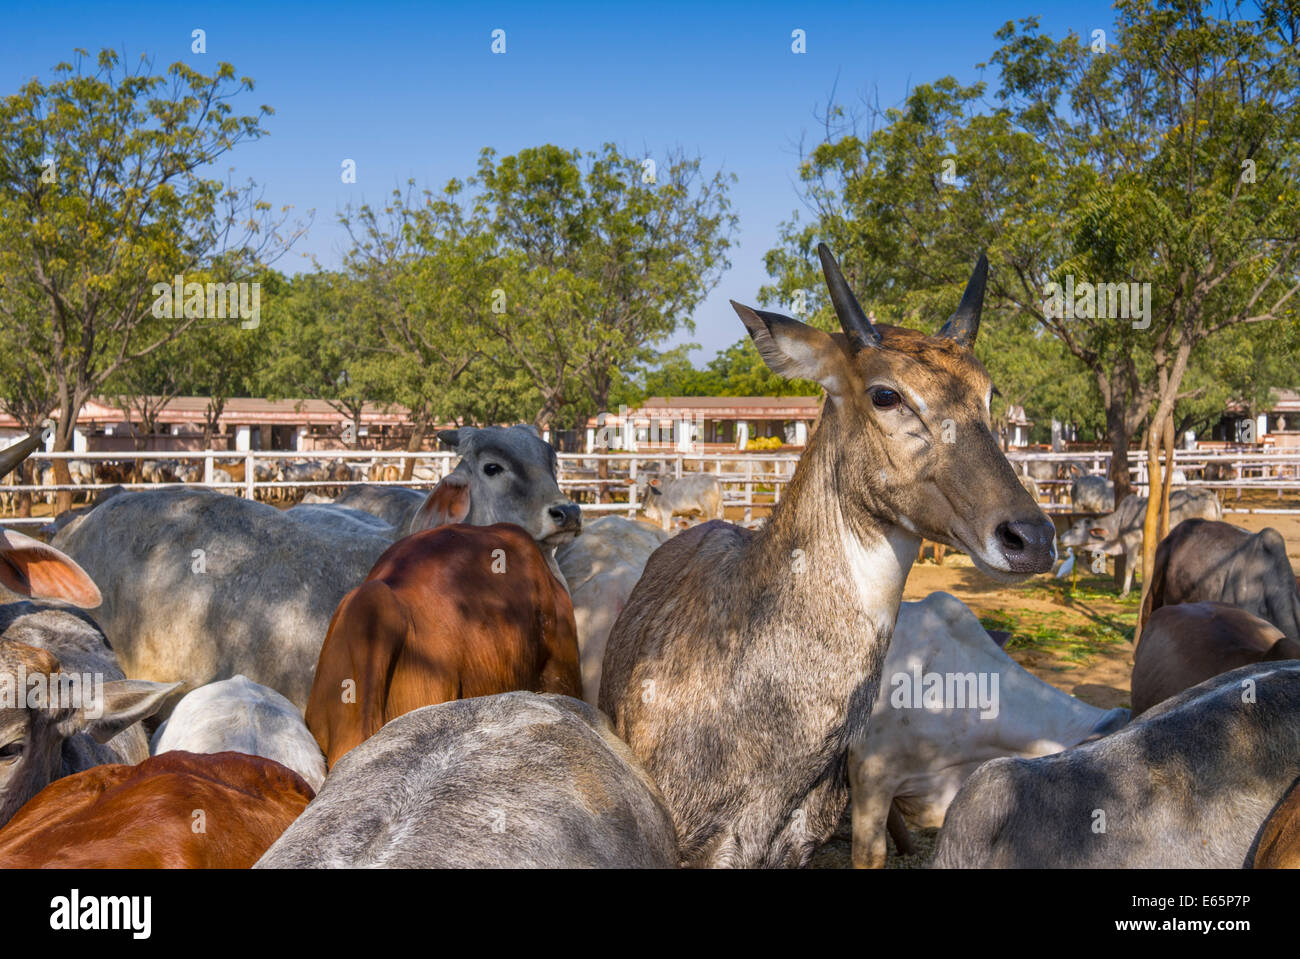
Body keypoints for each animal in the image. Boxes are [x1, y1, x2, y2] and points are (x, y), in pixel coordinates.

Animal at [1058, 487, 1221, 595]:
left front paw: (1124, 592)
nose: (1061, 537)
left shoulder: (1133, 543)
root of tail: (1211, 497)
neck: (1119, 522)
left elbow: (1129, 567)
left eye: (1075, 527)